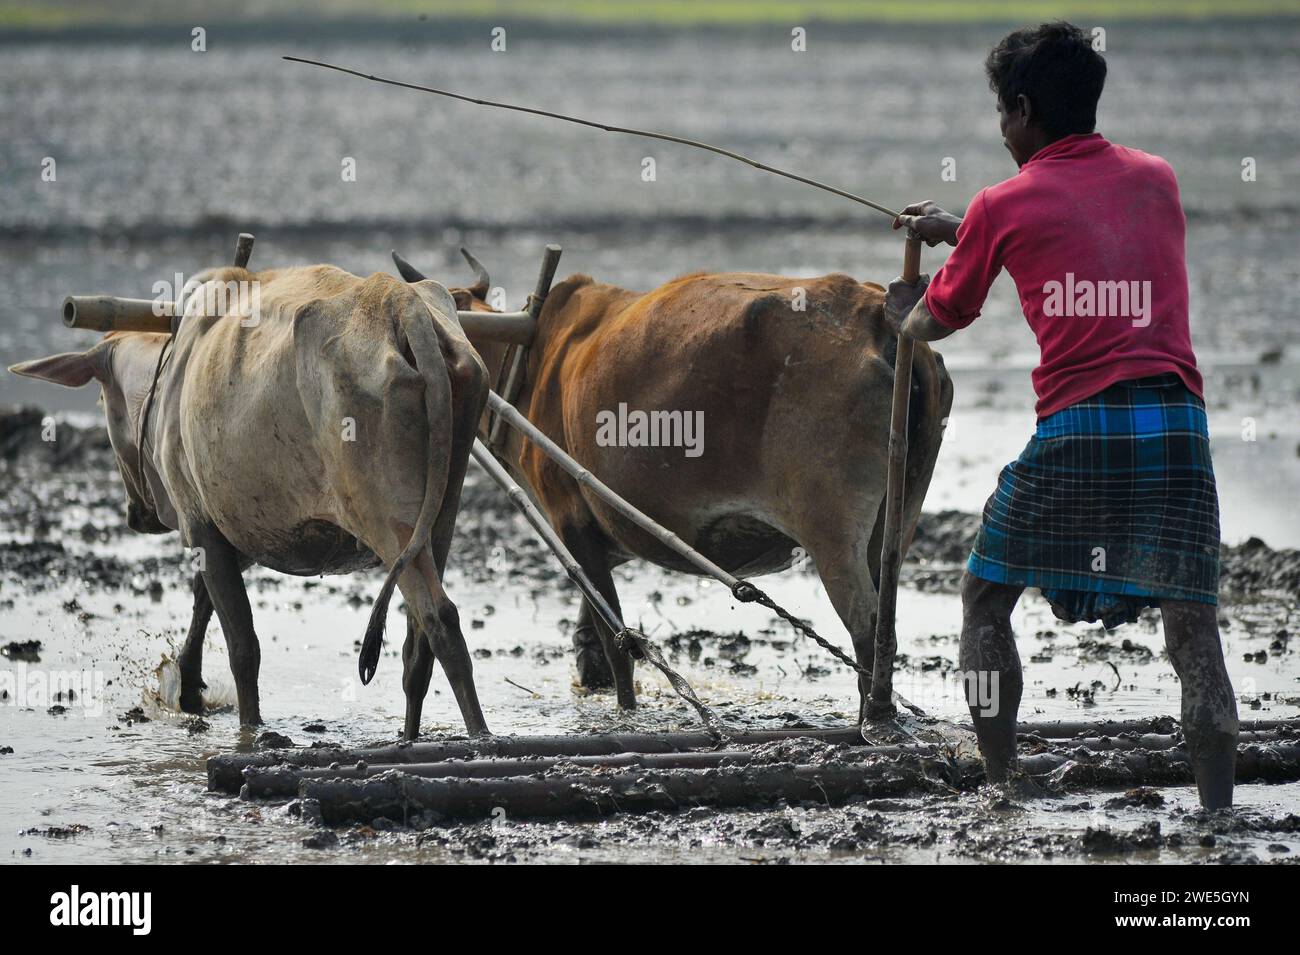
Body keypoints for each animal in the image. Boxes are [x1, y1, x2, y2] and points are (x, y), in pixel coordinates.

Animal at [9, 264, 490, 739]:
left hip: (386, 519)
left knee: (439, 618)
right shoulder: (233, 527)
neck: (170, 375)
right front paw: (188, 684)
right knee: (419, 647)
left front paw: (249, 727)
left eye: (100, 398)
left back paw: (479, 735)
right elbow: (204, 601)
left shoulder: (201, 523)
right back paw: (412, 738)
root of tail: (402, 303)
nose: (135, 514)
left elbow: (242, 647)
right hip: (440, 518)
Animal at [394, 250, 953, 717]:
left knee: (865, 626)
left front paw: (625, 710)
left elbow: (616, 641)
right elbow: (593, 628)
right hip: (895, 524)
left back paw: (873, 720)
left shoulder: (571, 516)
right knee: (885, 619)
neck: (536, 357)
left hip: (832, 533)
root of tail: (880, 320)